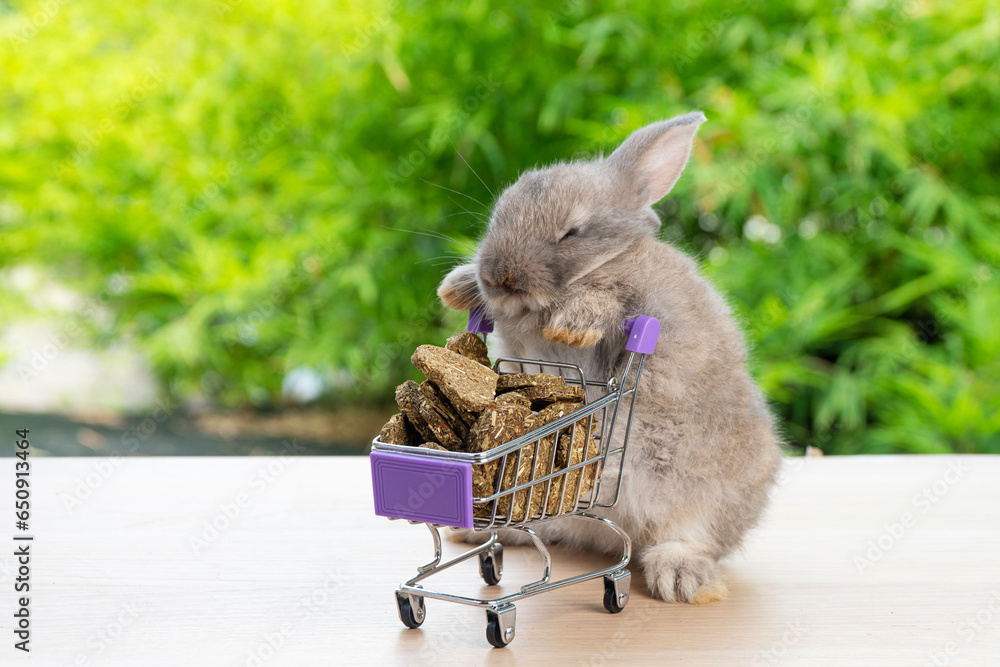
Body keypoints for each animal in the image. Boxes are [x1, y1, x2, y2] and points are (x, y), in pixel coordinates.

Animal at [436, 112, 783, 604]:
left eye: (572, 232)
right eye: (496, 217)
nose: (500, 277)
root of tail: (608, 531)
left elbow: (606, 299)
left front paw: (572, 322)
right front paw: (456, 287)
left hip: (705, 496)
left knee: (690, 535)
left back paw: (680, 579)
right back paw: (483, 533)